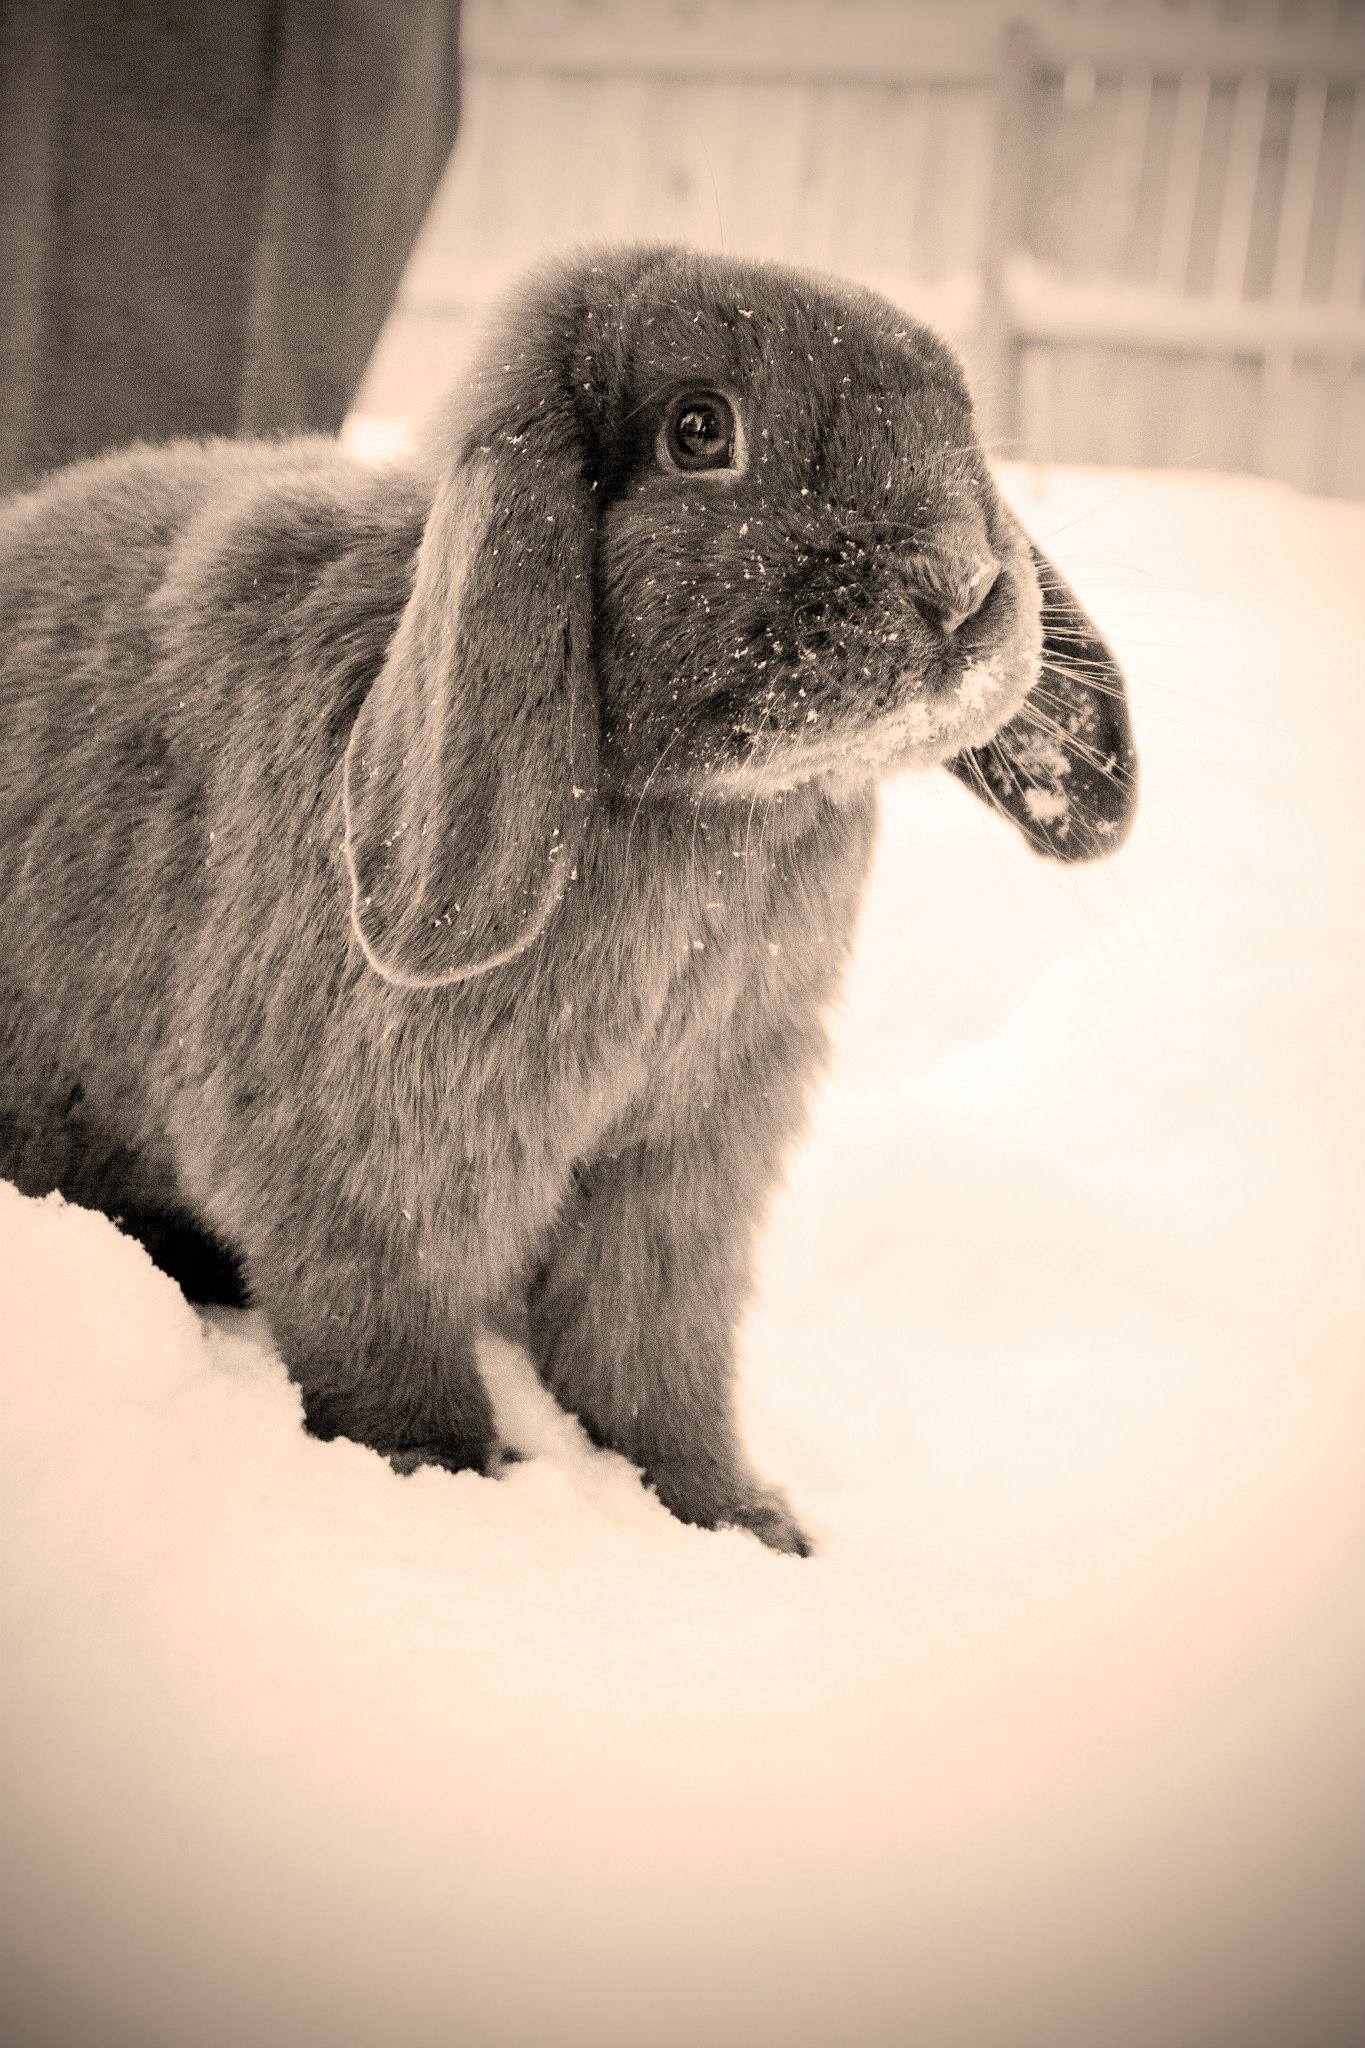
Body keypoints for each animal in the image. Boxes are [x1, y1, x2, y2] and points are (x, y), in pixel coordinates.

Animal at [0, 245, 1137, 1554]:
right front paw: (456, 1482)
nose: (963, 585)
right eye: (700, 430)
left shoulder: (679, 1174)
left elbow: (648, 1362)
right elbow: (386, 1344)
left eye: (962, 418)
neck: (714, 826)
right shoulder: (364, 1171)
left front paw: (742, 1521)